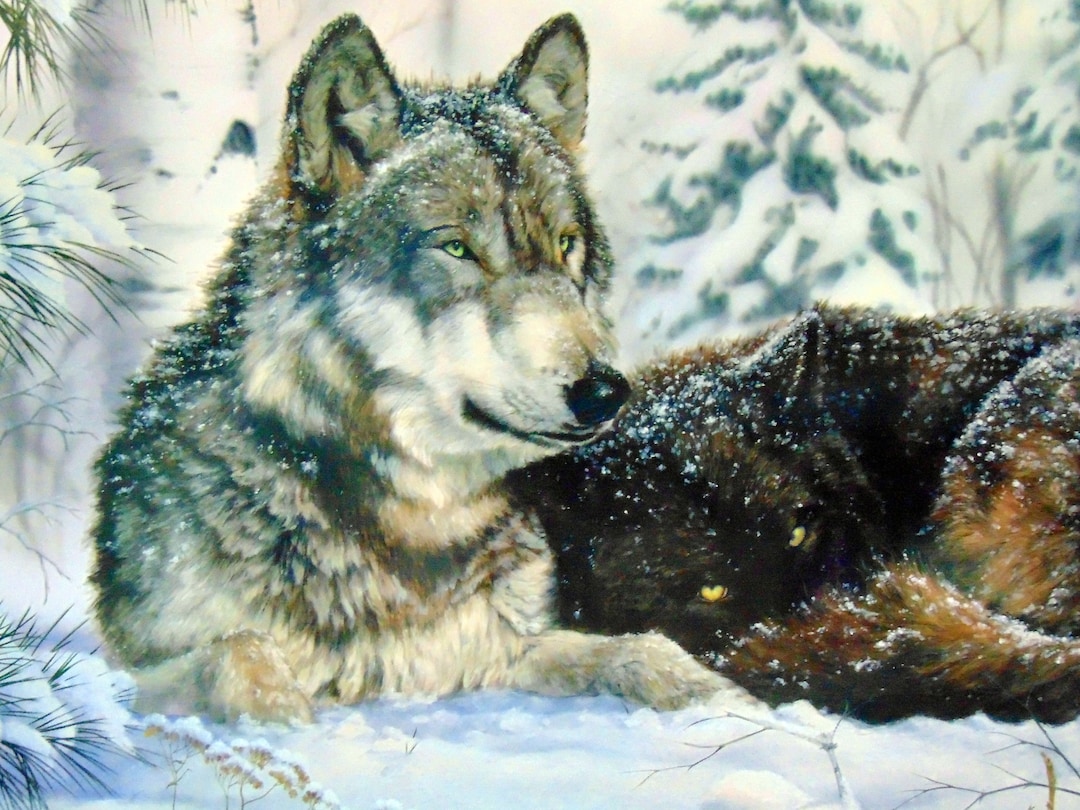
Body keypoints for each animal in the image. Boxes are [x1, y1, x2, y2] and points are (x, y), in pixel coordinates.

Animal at [90, 14, 743, 721]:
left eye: (567, 245)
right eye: (456, 248)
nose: (605, 391)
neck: (417, 522)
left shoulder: (492, 647)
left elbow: (642, 649)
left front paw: (726, 702)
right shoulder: (142, 669)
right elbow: (237, 652)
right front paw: (285, 715)